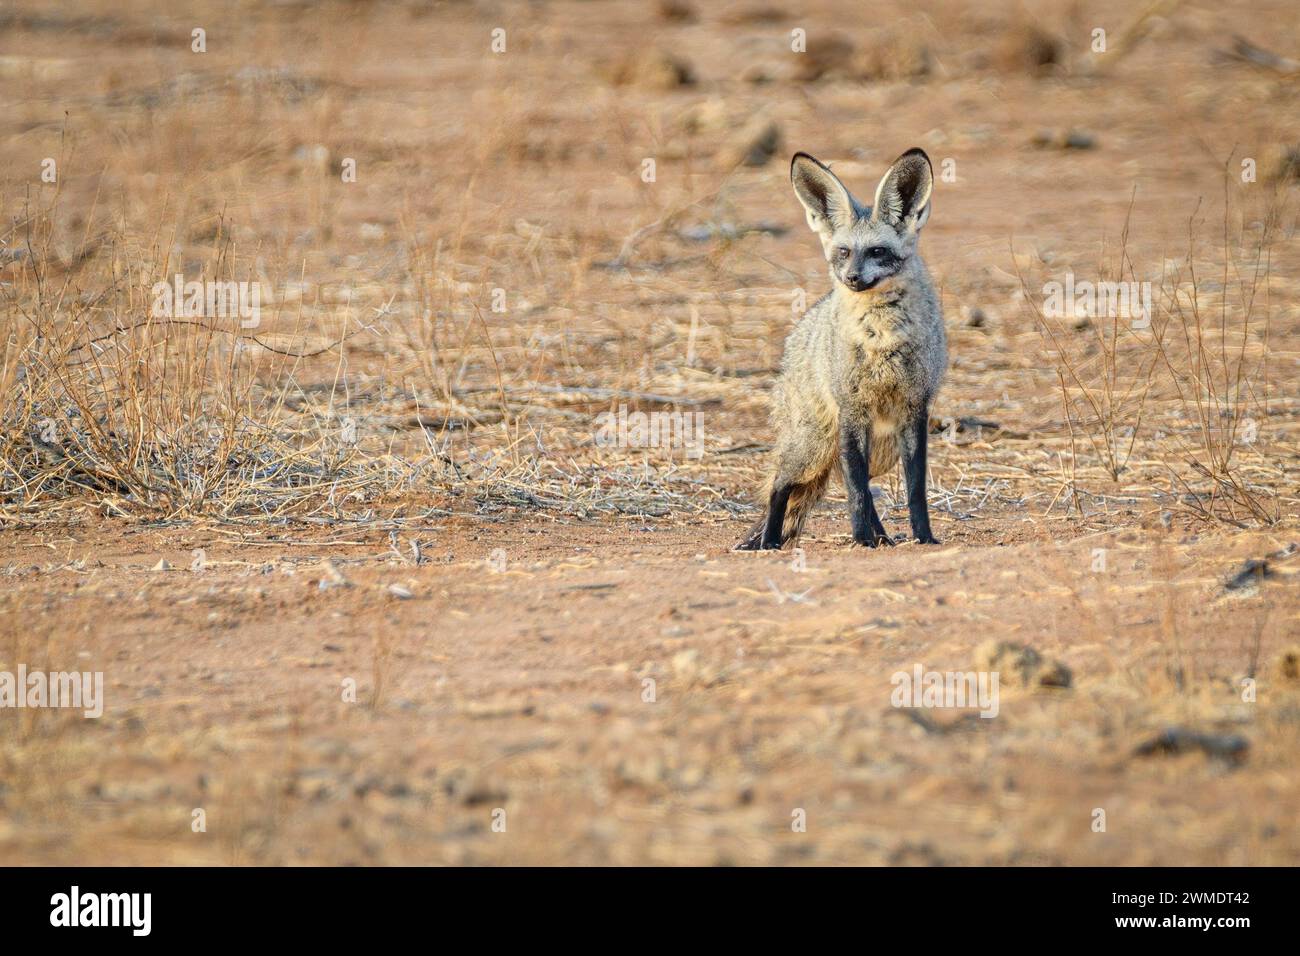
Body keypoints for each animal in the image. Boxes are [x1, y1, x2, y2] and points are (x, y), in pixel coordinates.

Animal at [735, 148, 946, 551]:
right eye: (844, 252)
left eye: (878, 251)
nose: (851, 279)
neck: (881, 339)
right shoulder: (851, 412)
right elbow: (855, 493)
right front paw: (860, 539)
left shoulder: (915, 410)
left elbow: (913, 490)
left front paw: (923, 537)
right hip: (814, 447)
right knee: (779, 484)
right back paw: (769, 540)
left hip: (881, 448)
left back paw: (883, 538)